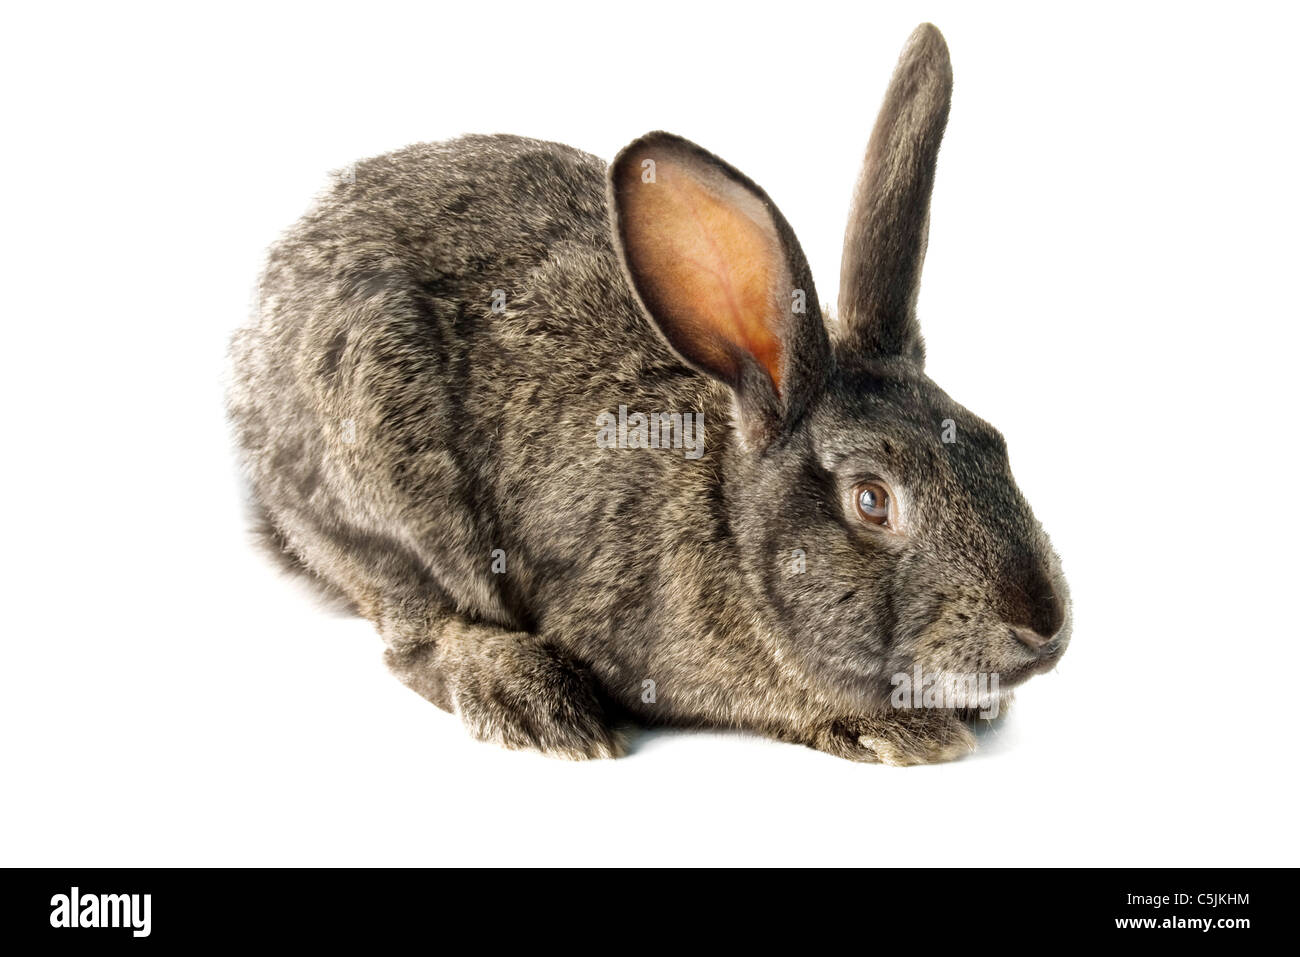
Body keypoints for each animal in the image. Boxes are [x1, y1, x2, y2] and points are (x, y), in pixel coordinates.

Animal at [228, 22, 1070, 765]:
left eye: (995, 441)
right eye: (871, 499)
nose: (1045, 627)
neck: (730, 522)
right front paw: (901, 731)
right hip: (383, 471)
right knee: (413, 625)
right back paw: (533, 701)